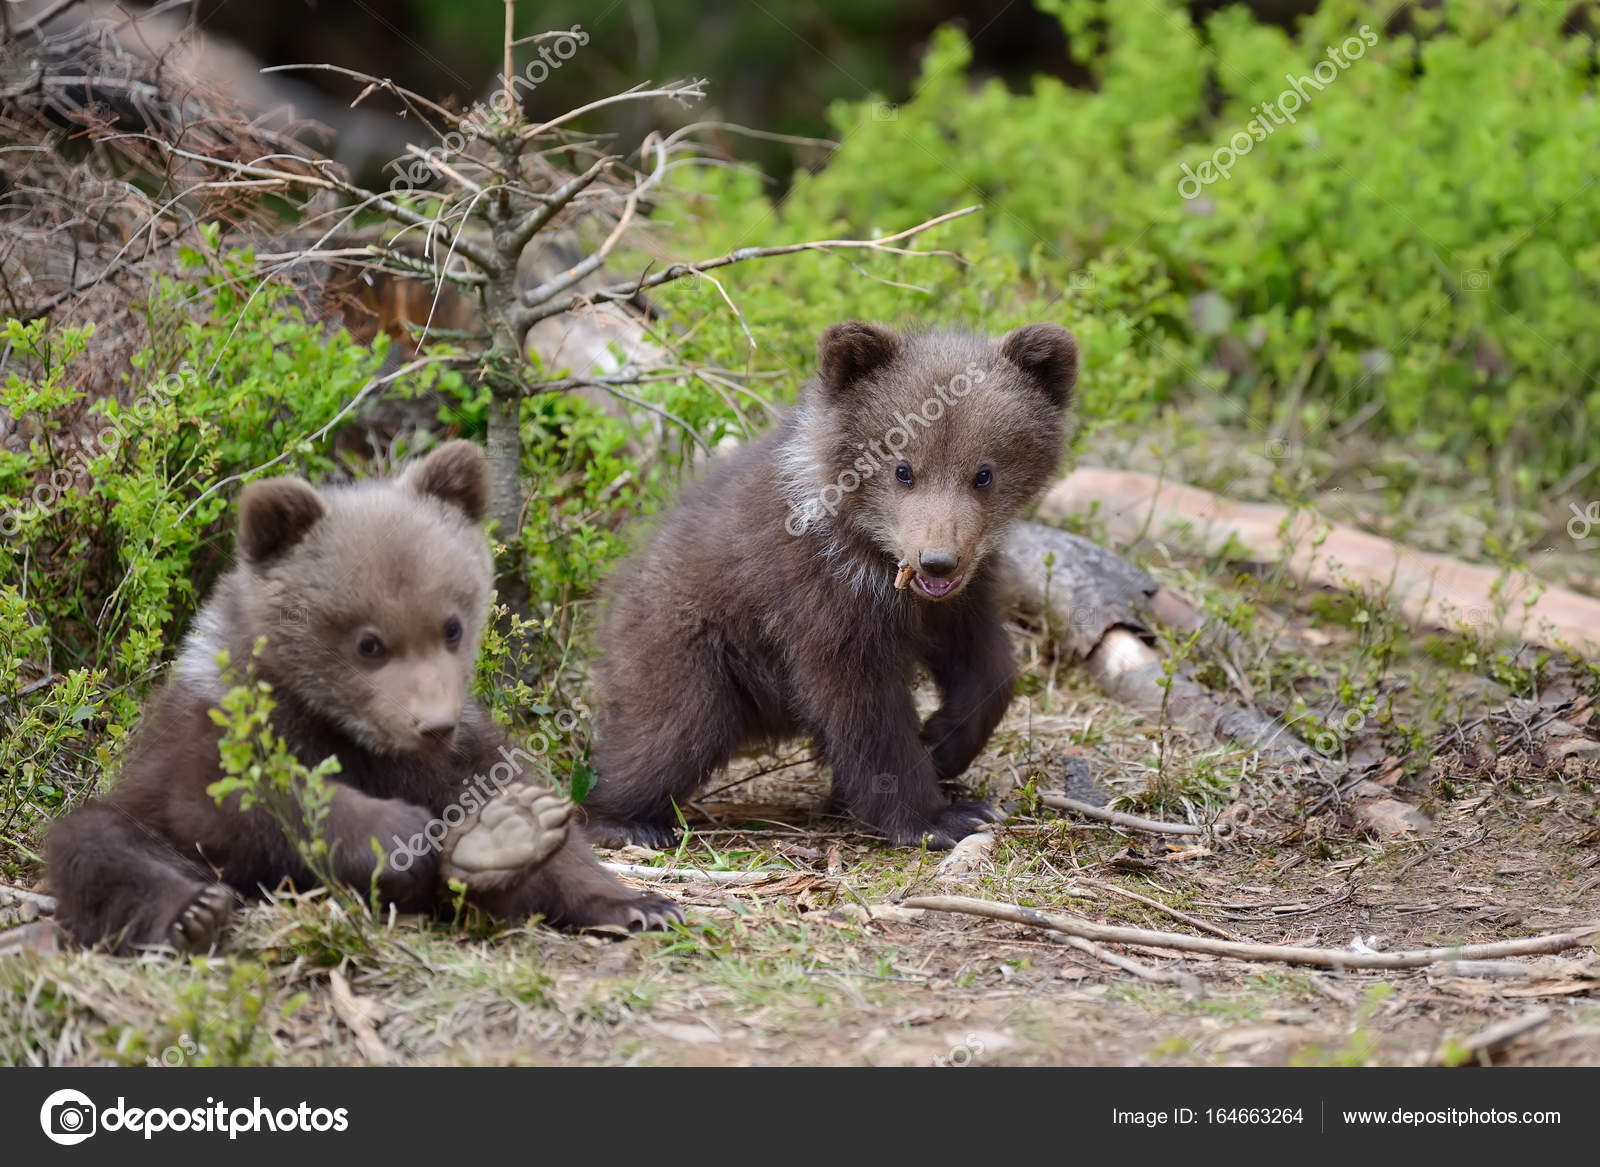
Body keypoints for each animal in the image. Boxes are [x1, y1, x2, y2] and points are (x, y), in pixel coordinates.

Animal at [47, 441, 681, 954]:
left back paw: (498, 849)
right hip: (138, 814)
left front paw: (626, 892)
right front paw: (403, 832)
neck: (348, 727)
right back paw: (191, 914)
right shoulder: (224, 731)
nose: (433, 724)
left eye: (452, 626)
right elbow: (248, 799)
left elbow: (520, 797)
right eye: (368, 643)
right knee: (100, 844)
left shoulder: (457, 750)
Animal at [580, 320, 1078, 850]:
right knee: (672, 729)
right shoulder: (821, 595)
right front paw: (937, 817)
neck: (875, 555)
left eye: (984, 473)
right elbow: (861, 708)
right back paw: (625, 818)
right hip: (691, 645)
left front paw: (943, 740)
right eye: (903, 469)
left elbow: (986, 665)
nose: (938, 561)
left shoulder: (962, 595)